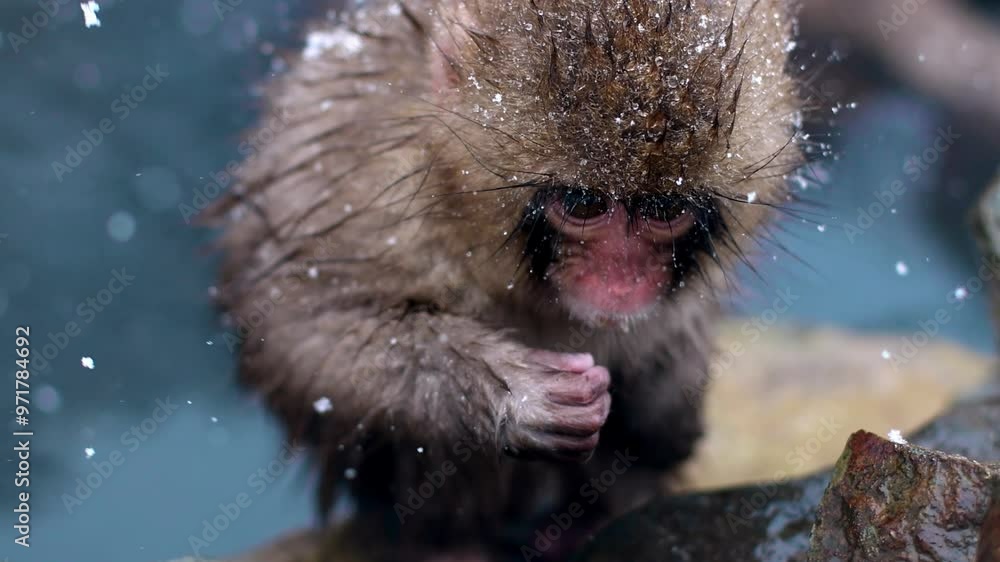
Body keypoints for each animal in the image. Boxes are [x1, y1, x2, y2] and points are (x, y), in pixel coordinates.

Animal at [207, 0, 804, 560]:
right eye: (583, 204)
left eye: (663, 210)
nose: (619, 284)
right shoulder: (360, 181)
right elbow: (299, 334)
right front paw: (522, 394)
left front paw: (664, 406)